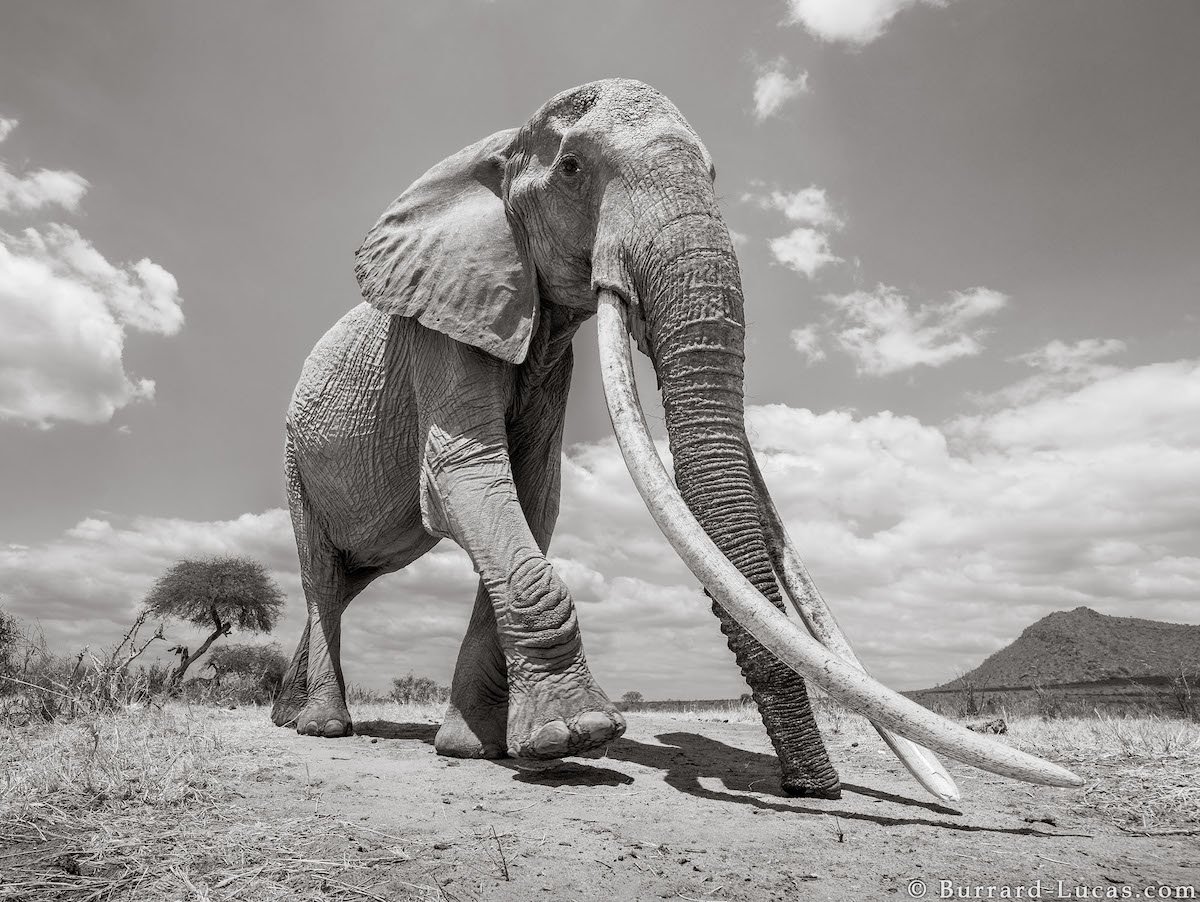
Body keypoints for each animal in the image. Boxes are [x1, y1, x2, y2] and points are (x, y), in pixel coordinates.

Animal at [271, 78, 1082, 801]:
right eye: (573, 169)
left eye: (715, 176)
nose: (810, 788)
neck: (495, 150)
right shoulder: (441, 326)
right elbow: (465, 477)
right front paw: (578, 736)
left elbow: (533, 497)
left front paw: (477, 749)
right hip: (293, 460)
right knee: (321, 573)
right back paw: (323, 727)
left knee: (347, 581)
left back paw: (290, 715)